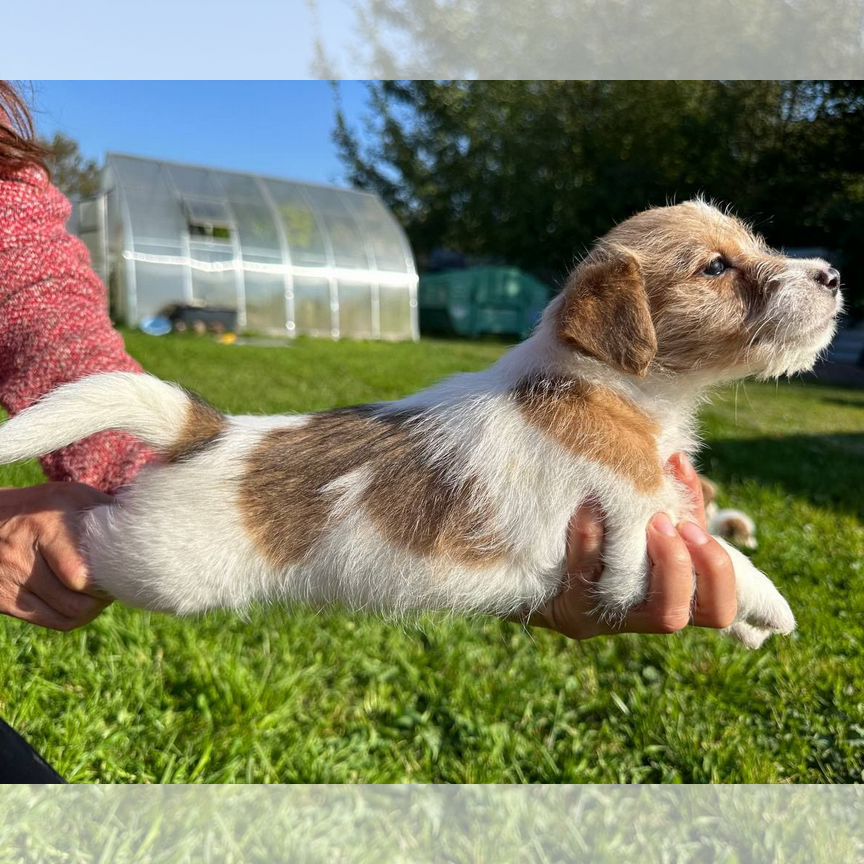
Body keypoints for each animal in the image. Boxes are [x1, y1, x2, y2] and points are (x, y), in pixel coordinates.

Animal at [0, 201, 840, 648]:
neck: (605, 386)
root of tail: (208, 430)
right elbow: (727, 557)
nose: (833, 274)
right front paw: (775, 607)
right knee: (84, 534)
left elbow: (716, 557)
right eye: (717, 268)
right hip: (158, 569)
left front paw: (744, 627)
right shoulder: (642, 520)